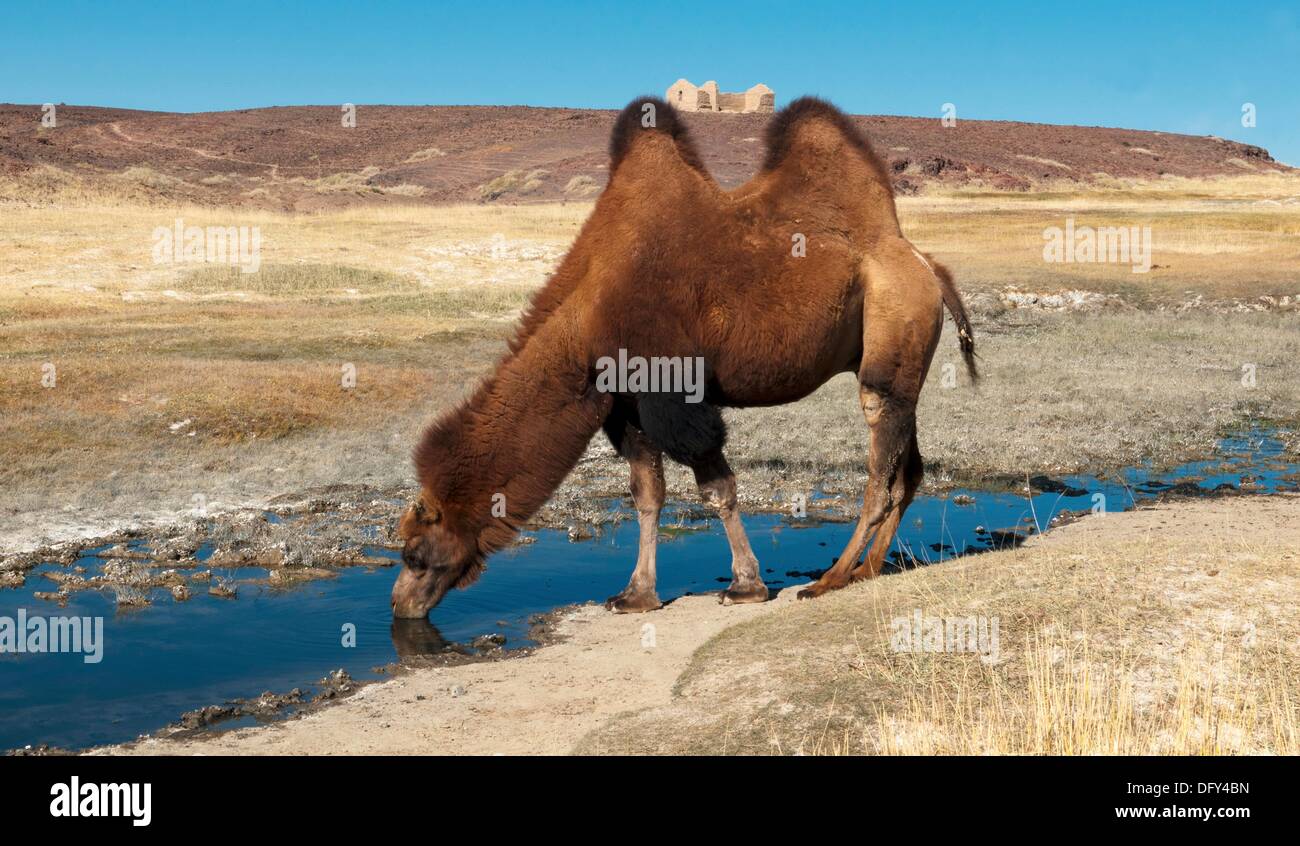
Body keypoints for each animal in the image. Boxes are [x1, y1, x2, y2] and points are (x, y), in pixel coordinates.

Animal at [391, 95, 977, 618]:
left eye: (414, 553)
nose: (400, 605)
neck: (585, 323)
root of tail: (927, 266)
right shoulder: (626, 403)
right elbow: (647, 495)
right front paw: (635, 595)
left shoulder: (671, 391)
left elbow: (716, 486)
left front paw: (746, 586)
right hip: (899, 367)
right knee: (908, 468)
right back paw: (868, 569)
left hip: (890, 337)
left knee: (881, 462)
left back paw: (830, 578)